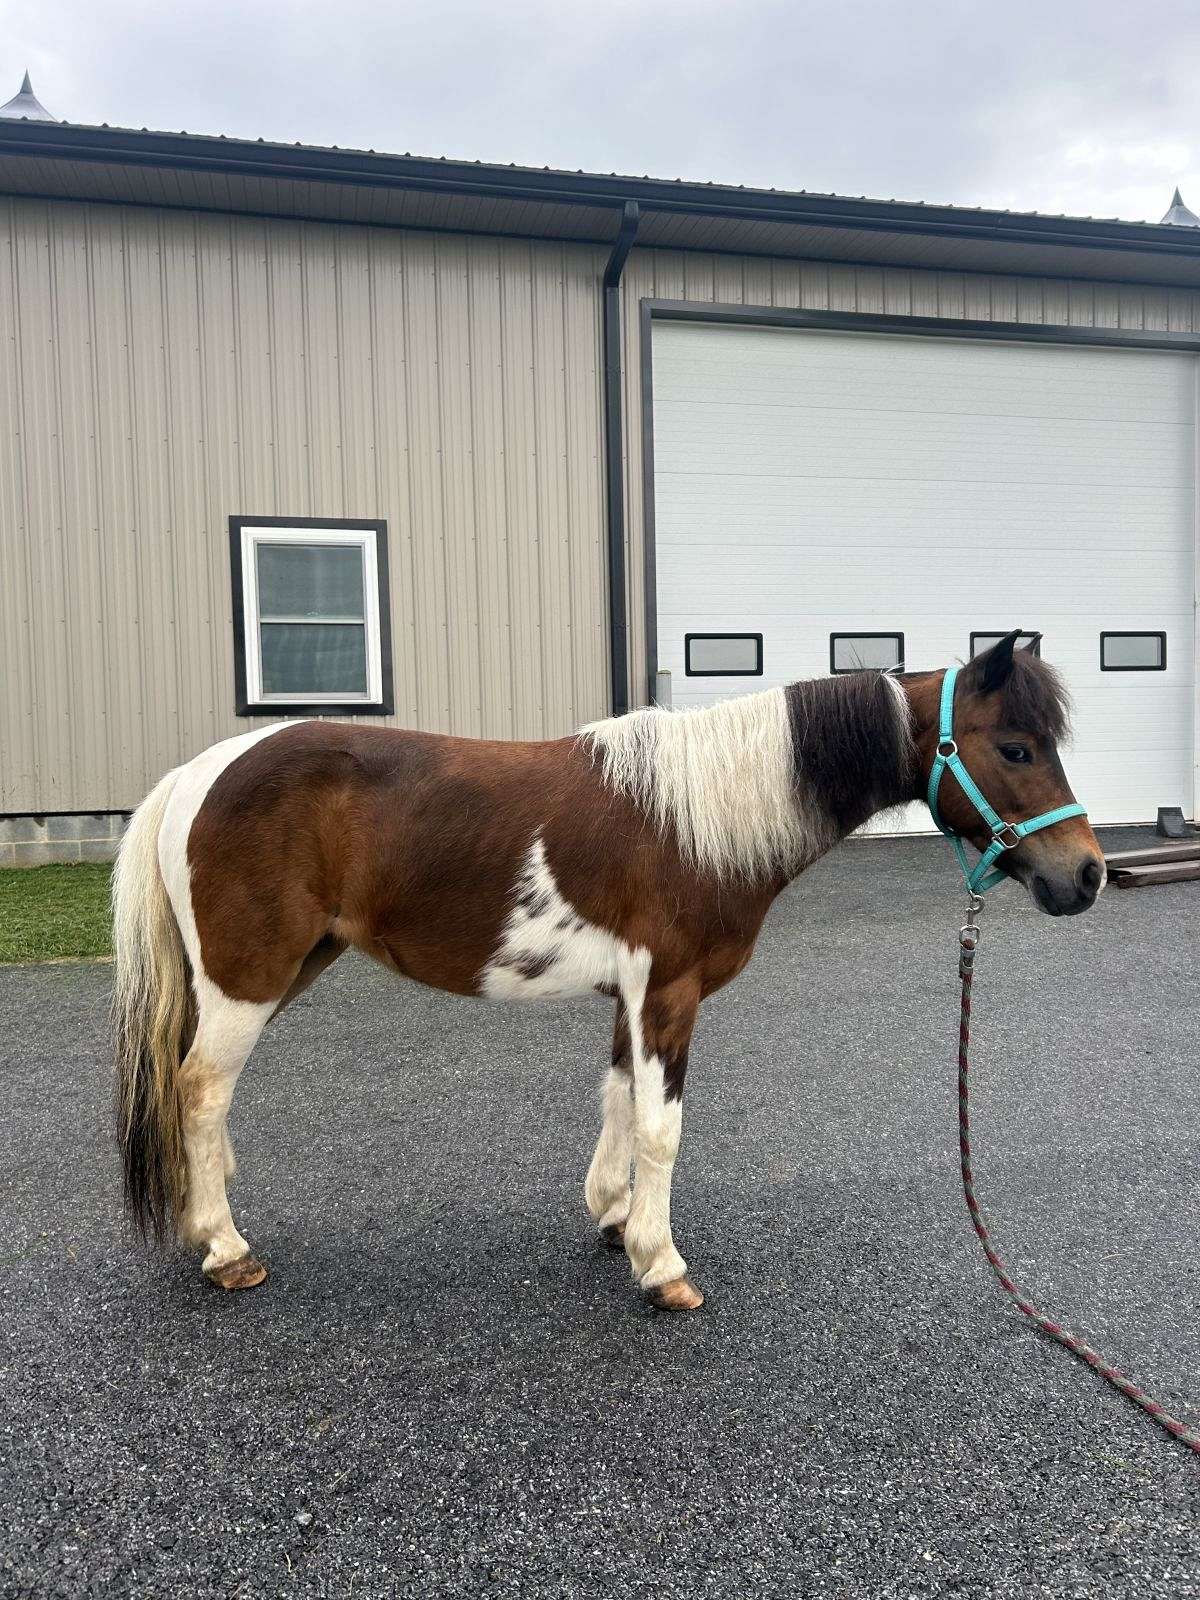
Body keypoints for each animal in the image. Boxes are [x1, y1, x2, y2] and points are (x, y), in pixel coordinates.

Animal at [111, 629, 1104, 1312]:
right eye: (1015, 748)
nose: (1088, 875)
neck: (700, 818)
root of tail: (196, 774)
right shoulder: (669, 994)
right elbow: (663, 1128)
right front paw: (662, 1267)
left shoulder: (632, 997)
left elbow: (620, 1102)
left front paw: (616, 1218)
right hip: (249, 977)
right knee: (200, 1088)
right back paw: (226, 1247)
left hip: (281, 971)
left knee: (203, 1095)